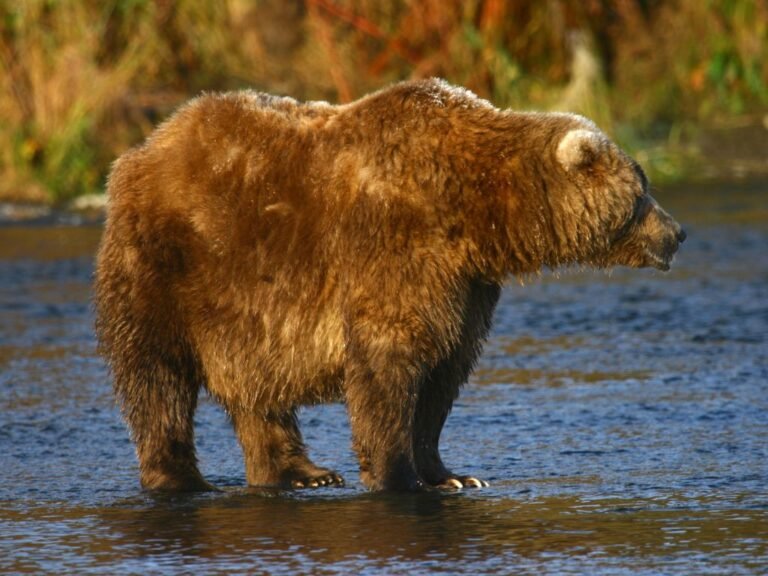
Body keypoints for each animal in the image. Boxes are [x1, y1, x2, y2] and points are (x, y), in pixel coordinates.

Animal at [94, 78, 685, 492]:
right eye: (642, 191)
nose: (677, 232)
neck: (477, 211)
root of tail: (144, 147)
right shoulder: (395, 248)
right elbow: (391, 360)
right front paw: (399, 476)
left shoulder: (465, 286)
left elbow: (443, 372)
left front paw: (453, 474)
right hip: (169, 265)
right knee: (157, 373)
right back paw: (182, 477)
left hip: (244, 309)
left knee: (257, 386)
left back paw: (302, 471)